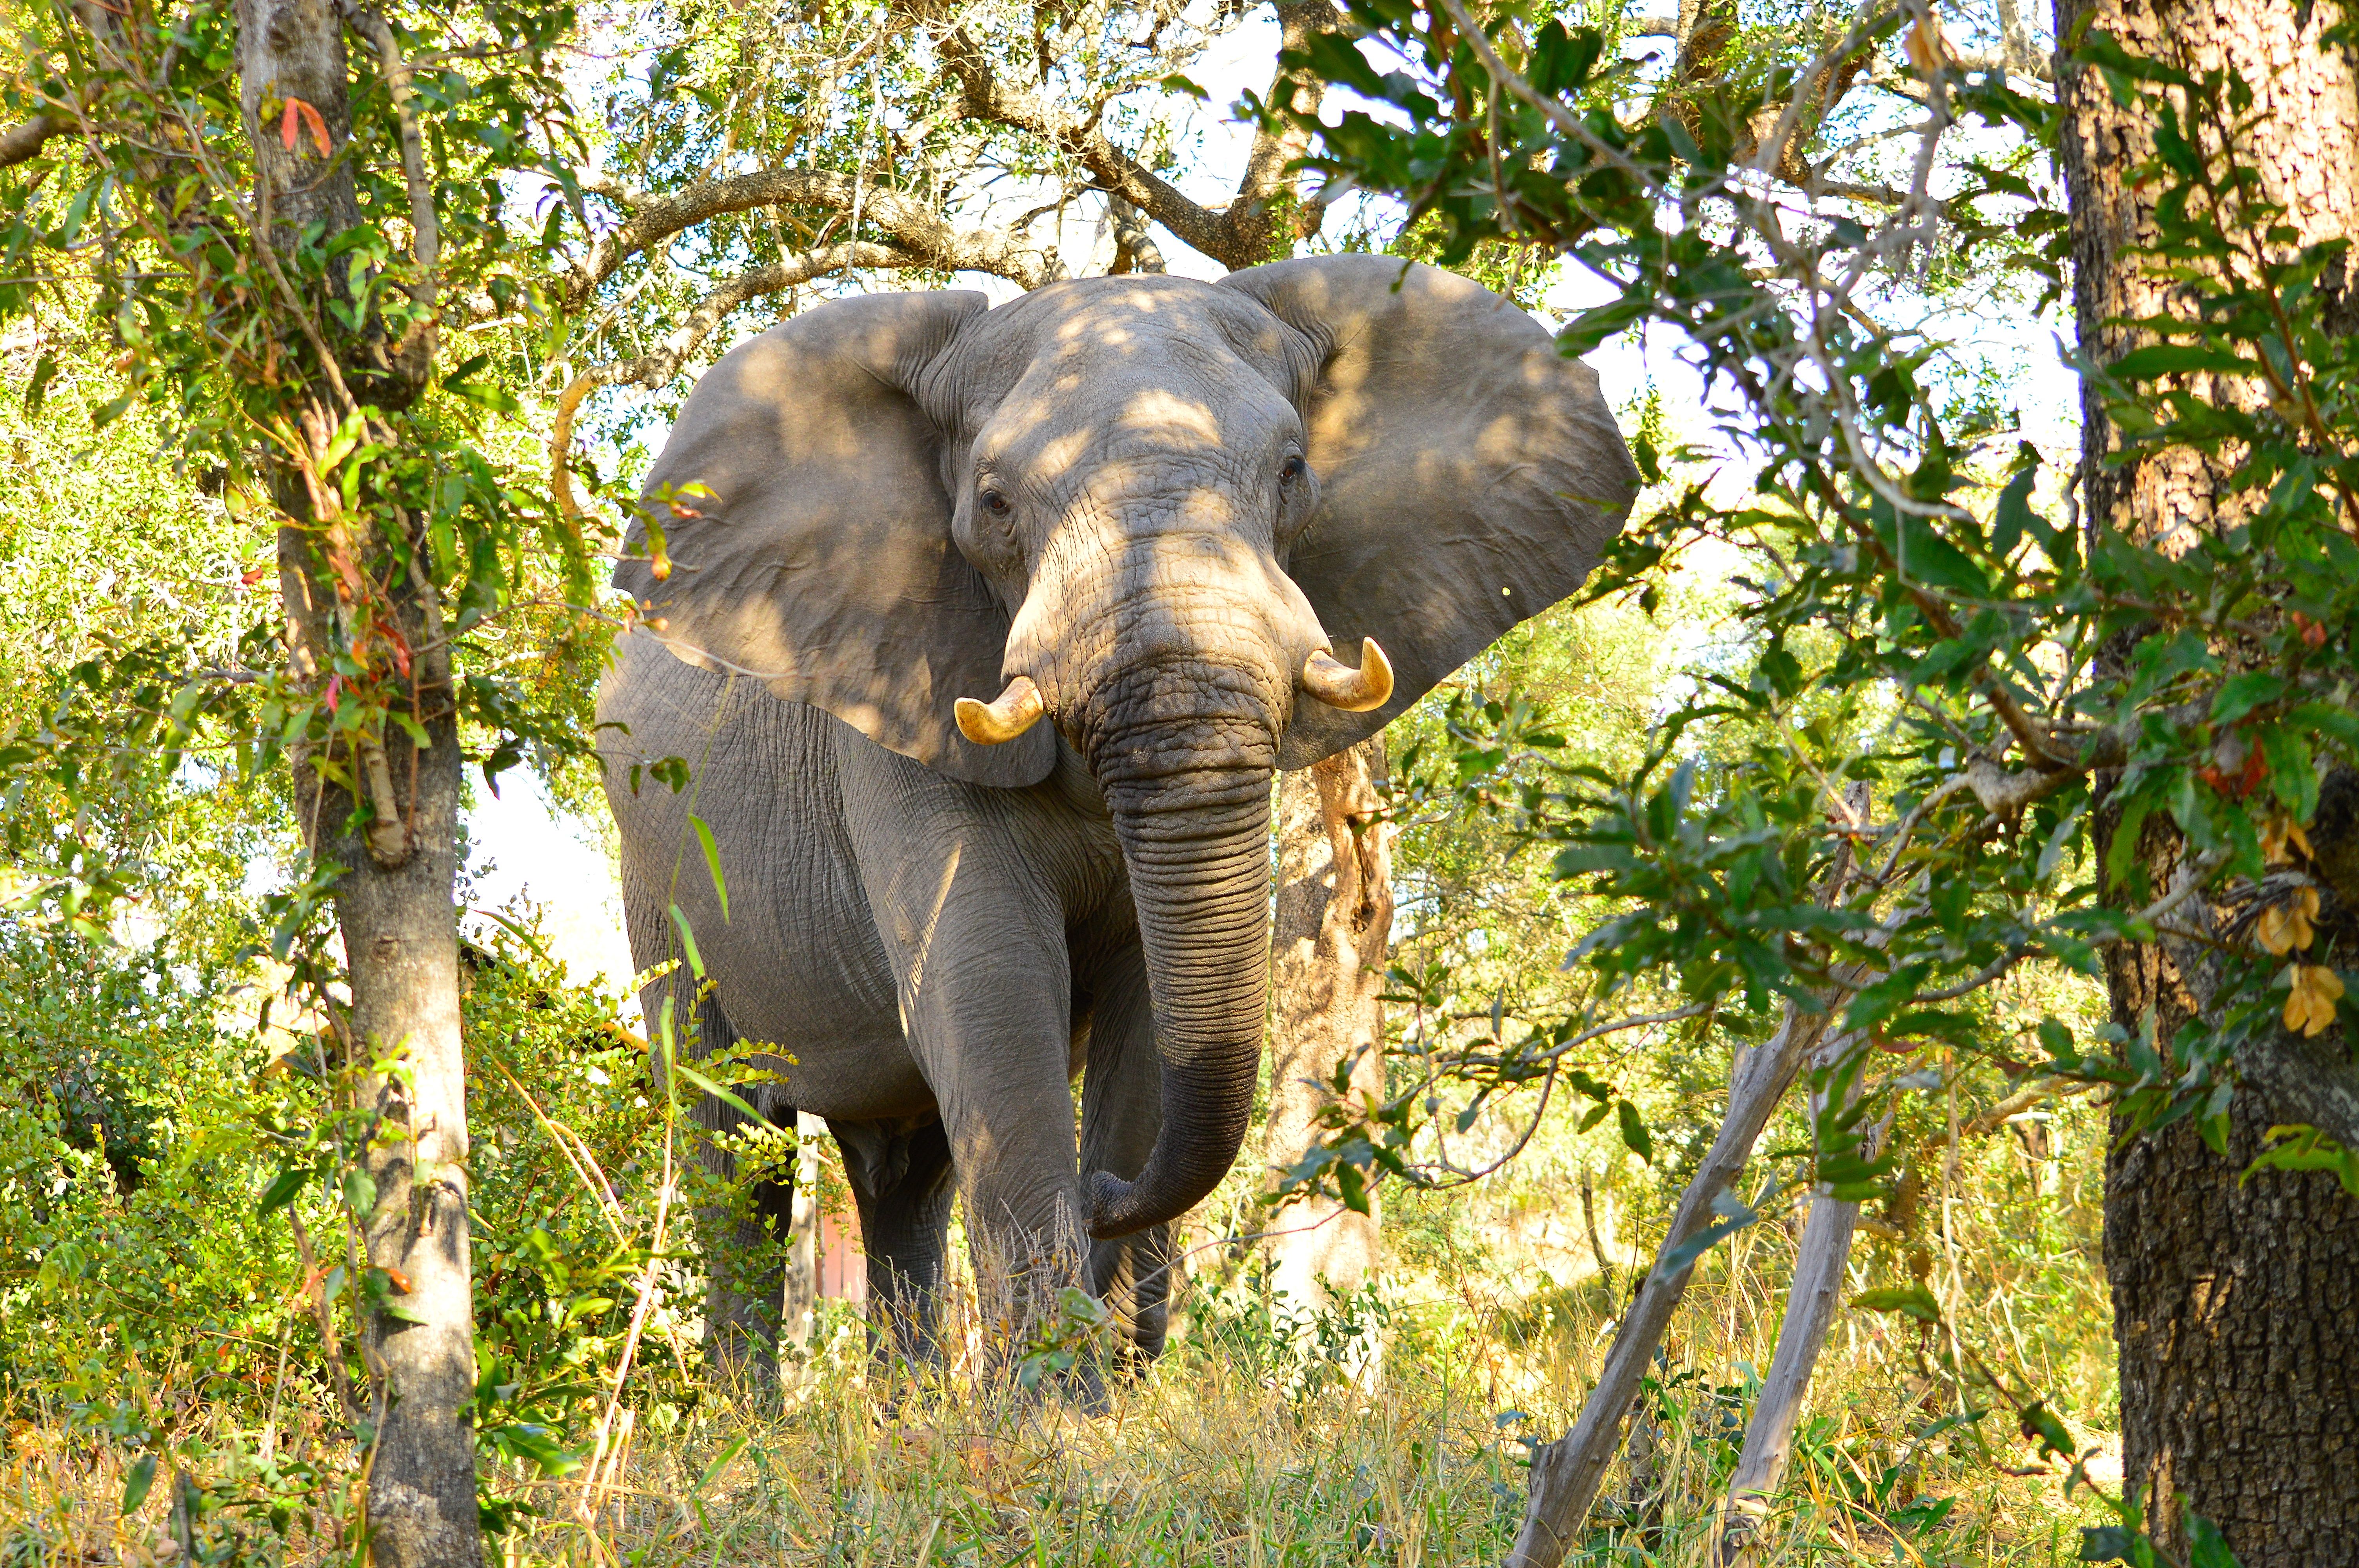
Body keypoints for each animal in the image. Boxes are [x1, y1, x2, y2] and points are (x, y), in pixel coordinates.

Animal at [596, 254, 1638, 1378]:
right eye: (995, 503)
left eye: (1293, 471)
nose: (1105, 1202)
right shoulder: (899, 710)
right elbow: (993, 989)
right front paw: (1056, 1409)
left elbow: (1149, 1019)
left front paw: (1106, 1386)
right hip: (656, 882)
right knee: (733, 1149)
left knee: (904, 1171)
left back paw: (909, 1408)